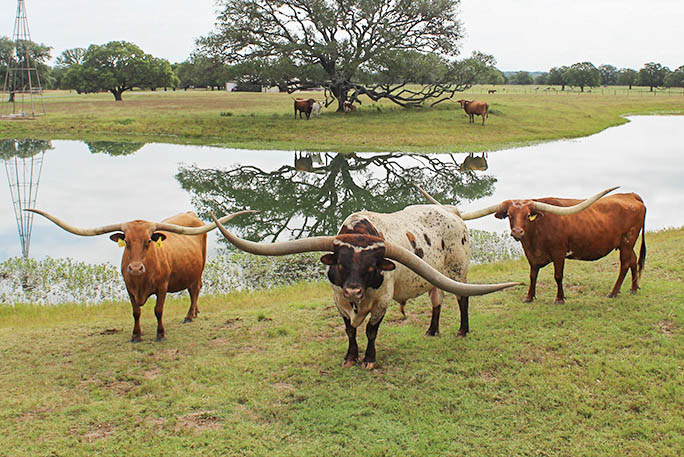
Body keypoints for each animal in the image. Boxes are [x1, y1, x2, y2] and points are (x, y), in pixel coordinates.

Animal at [26, 209, 251, 342]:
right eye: (127, 242)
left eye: (148, 241)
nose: (135, 268)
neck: (142, 280)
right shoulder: (128, 288)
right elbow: (136, 312)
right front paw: (136, 335)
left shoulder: (162, 287)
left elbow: (158, 310)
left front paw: (160, 334)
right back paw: (194, 313)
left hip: (198, 270)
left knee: (195, 290)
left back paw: (189, 316)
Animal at [208, 207, 520, 369]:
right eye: (341, 263)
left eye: (372, 267)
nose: (354, 291)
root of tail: (451, 211)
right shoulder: (338, 299)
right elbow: (350, 331)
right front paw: (350, 357)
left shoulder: (382, 301)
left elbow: (370, 330)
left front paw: (369, 359)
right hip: (435, 276)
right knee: (437, 299)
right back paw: (432, 330)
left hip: (458, 271)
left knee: (462, 298)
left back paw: (462, 330)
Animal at [418, 186, 645, 304]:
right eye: (510, 215)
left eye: (528, 215)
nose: (517, 232)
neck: (536, 235)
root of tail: (631, 195)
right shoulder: (531, 255)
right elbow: (532, 275)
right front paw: (529, 296)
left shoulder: (559, 253)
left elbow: (558, 276)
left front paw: (560, 298)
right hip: (628, 244)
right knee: (634, 261)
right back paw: (634, 288)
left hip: (627, 241)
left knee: (625, 264)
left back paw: (614, 292)